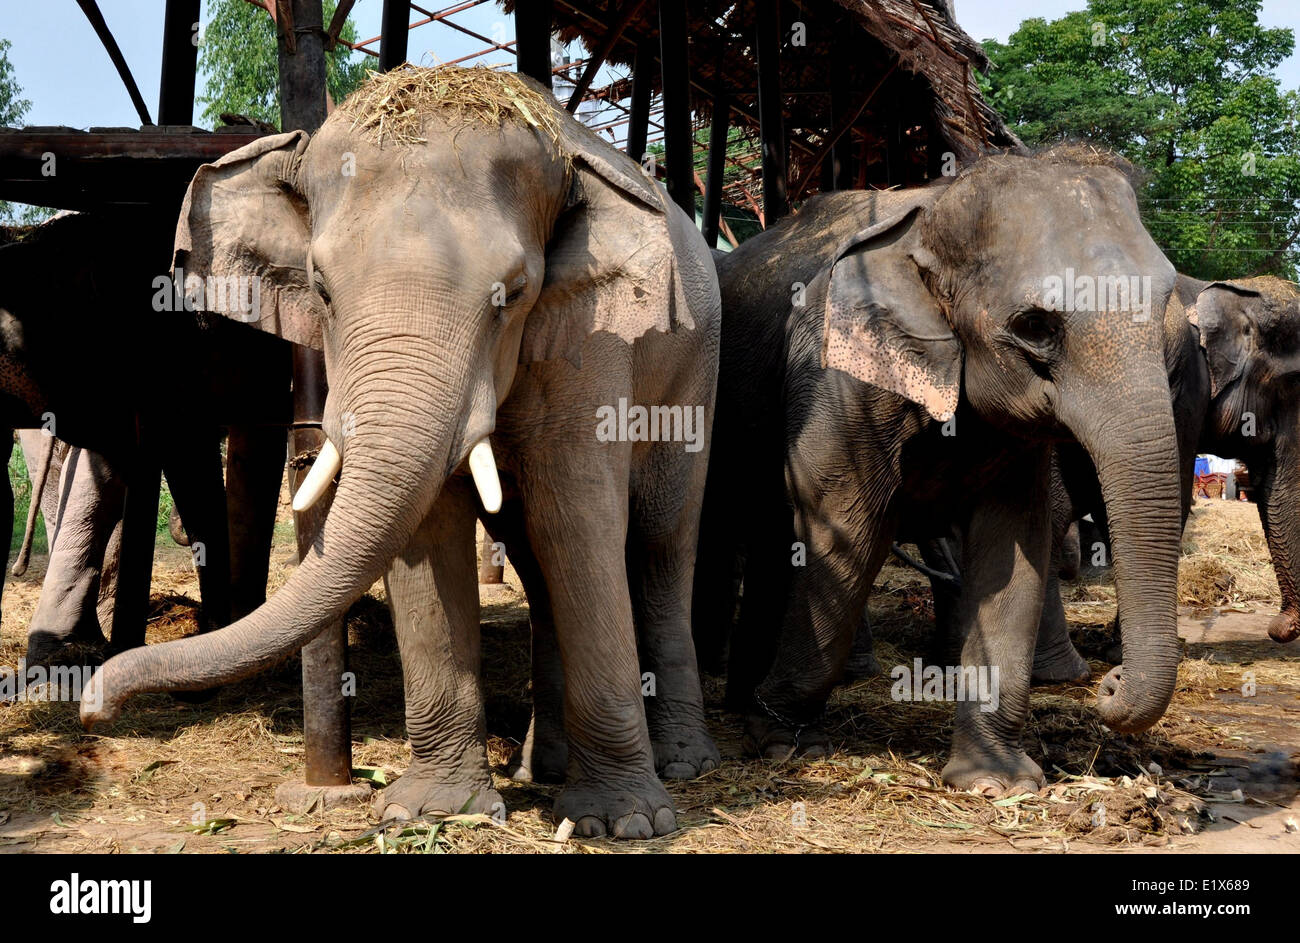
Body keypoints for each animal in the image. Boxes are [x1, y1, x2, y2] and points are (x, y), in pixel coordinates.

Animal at [80, 65, 721, 840]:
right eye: (320, 288)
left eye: (514, 293)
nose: (93, 703)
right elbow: (431, 530)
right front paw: (435, 810)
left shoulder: (590, 335)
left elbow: (578, 520)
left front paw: (621, 823)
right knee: (536, 557)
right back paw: (540, 768)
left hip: (696, 377)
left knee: (658, 543)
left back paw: (684, 764)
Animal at [692, 148, 1184, 795]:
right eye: (1036, 326)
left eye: (1165, 306)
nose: (1109, 683)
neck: (934, 209)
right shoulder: (835, 375)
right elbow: (847, 527)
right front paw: (784, 744)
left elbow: (1013, 546)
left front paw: (996, 781)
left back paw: (743, 703)